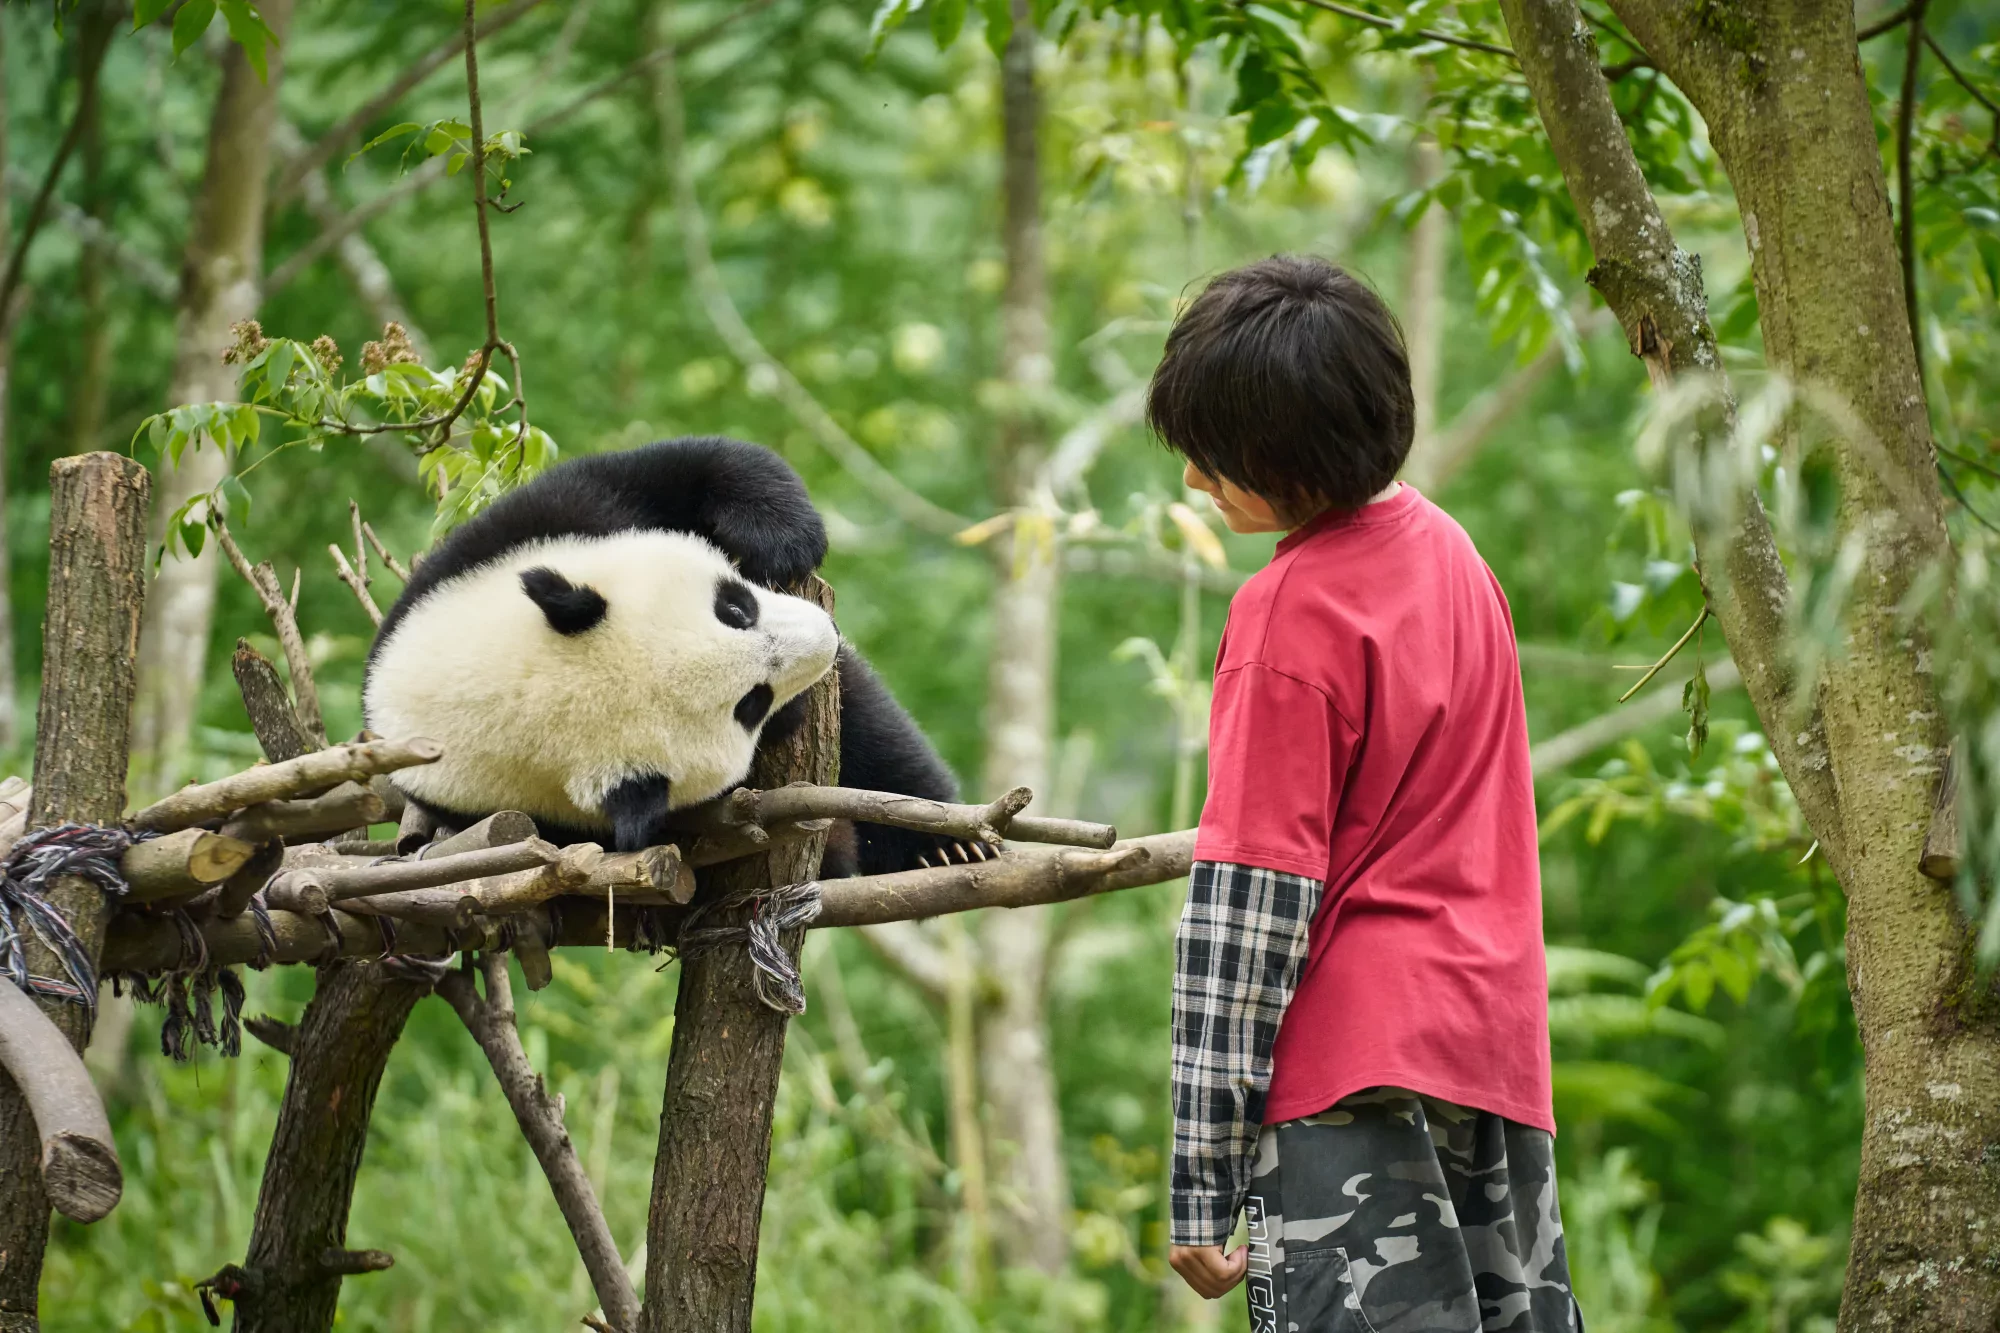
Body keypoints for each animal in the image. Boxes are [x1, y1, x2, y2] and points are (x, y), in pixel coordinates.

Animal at [362, 435, 965, 876]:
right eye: (749, 703)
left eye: (735, 608)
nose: (826, 635)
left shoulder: (522, 533)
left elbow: (683, 468)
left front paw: (781, 539)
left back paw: (947, 847)